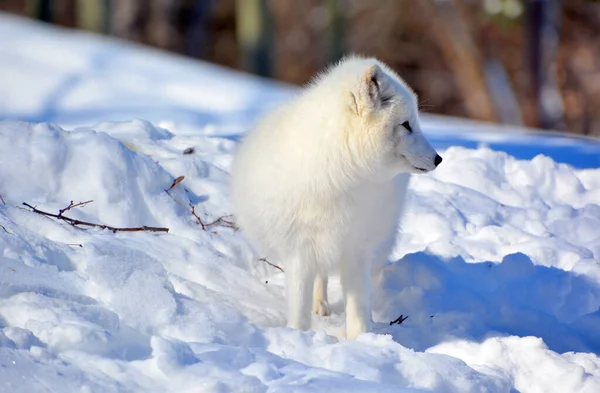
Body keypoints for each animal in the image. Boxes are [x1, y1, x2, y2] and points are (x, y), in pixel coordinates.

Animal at [230, 54, 440, 336]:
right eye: (406, 125)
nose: (438, 159)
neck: (343, 176)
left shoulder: (357, 250)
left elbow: (358, 306)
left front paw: (361, 338)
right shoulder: (299, 252)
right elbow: (299, 307)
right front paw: (299, 335)